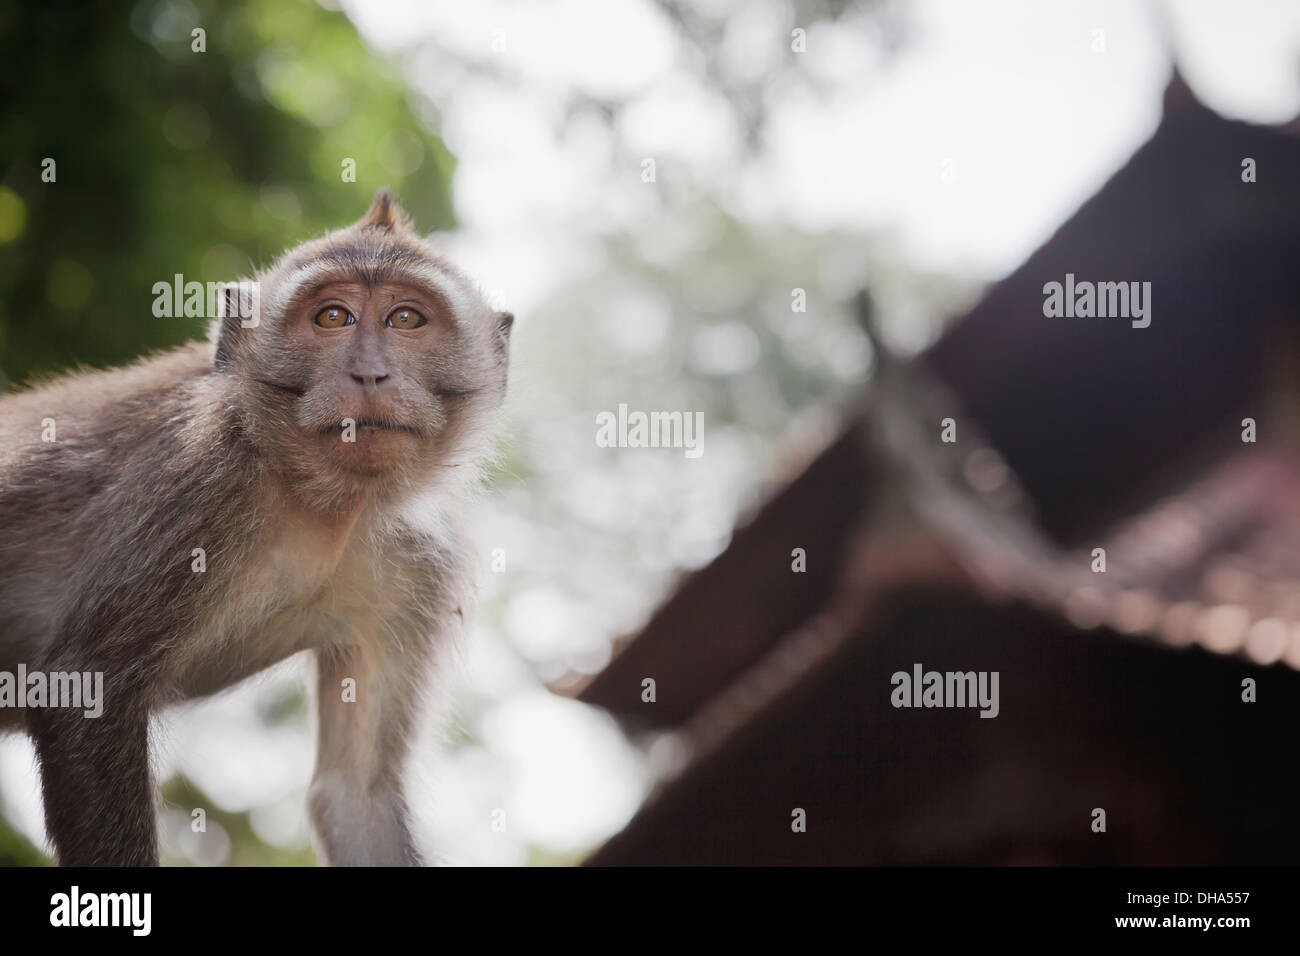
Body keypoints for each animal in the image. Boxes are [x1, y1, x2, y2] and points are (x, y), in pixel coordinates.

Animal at [0, 190, 512, 866]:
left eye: (405, 319)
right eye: (332, 317)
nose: (369, 374)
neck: (323, 506)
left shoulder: (424, 568)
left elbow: (355, 794)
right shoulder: (204, 480)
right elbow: (86, 687)